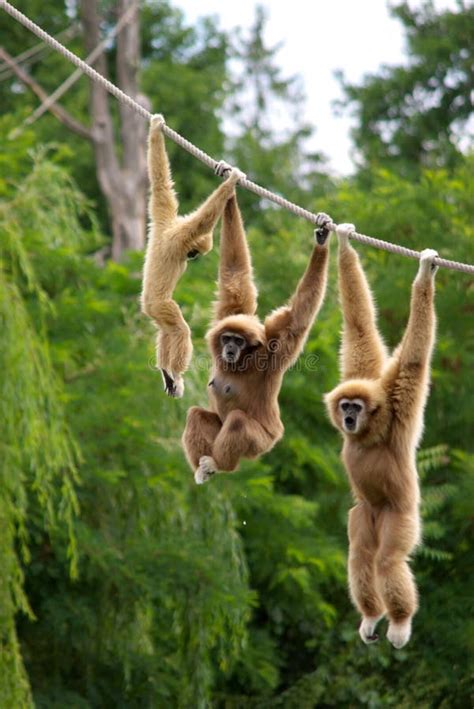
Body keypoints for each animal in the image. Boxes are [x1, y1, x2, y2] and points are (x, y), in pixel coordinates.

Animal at [140, 114, 244, 397]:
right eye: (194, 252)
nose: (193, 257)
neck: (173, 229)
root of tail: (146, 303)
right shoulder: (181, 236)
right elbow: (204, 219)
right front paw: (231, 182)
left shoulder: (163, 218)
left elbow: (160, 184)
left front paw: (156, 129)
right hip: (160, 305)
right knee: (178, 329)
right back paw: (175, 372)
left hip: (154, 309)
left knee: (165, 330)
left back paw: (167, 373)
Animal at [181, 202, 331, 484]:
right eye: (227, 338)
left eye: (239, 341)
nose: (229, 348)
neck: (244, 361)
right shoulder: (229, 315)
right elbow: (234, 276)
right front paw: (230, 195)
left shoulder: (273, 349)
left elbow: (298, 317)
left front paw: (322, 241)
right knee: (196, 414)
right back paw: (203, 468)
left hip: (261, 442)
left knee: (238, 422)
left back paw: (220, 465)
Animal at [324, 222, 438, 649]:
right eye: (345, 405)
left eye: (356, 407)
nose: (348, 415)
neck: (369, 432)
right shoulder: (364, 371)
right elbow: (358, 324)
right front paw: (342, 242)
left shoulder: (396, 400)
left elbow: (414, 358)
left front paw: (425, 274)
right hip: (365, 513)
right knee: (360, 554)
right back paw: (372, 616)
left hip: (400, 516)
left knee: (388, 559)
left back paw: (400, 623)